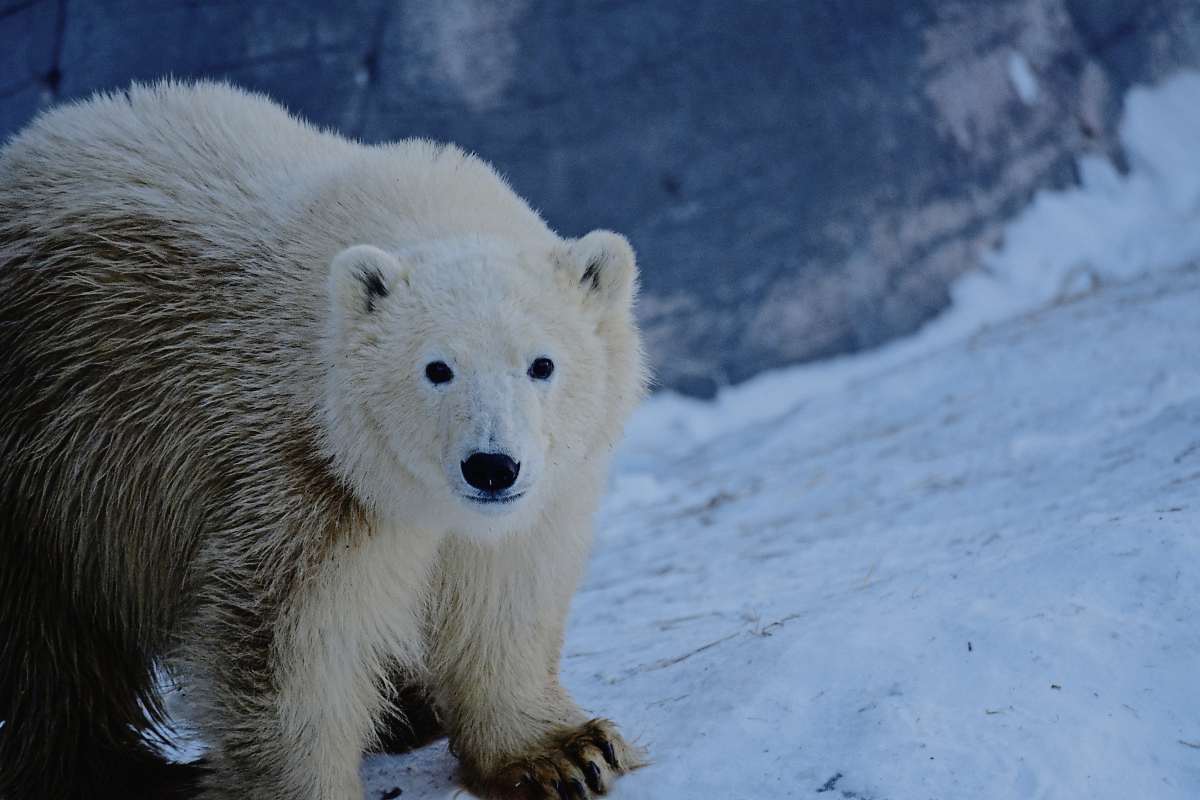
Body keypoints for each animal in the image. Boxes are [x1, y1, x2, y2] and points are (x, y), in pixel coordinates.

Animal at [0, 81, 647, 800]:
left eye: (542, 363)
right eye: (436, 368)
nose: (491, 467)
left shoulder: (525, 501)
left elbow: (503, 591)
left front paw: (567, 753)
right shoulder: (294, 472)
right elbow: (295, 647)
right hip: (51, 458)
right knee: (46, 646)